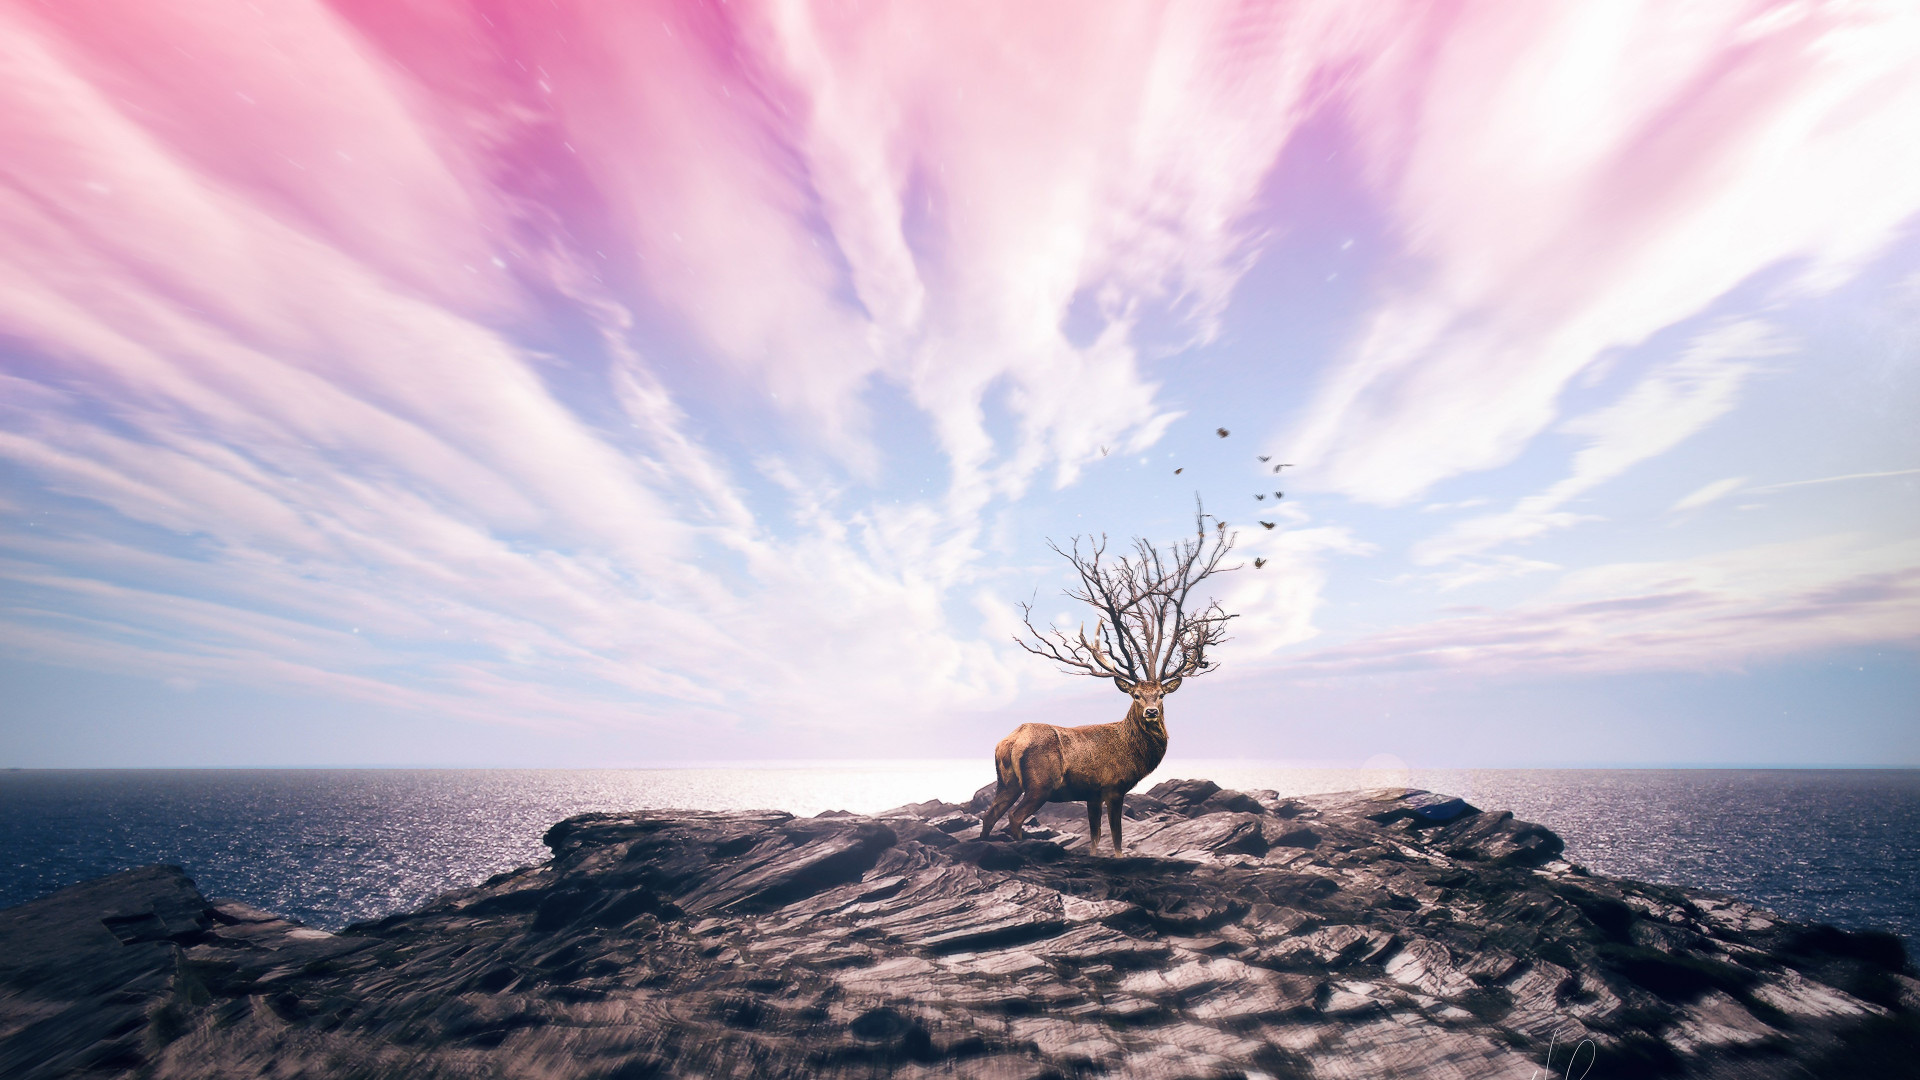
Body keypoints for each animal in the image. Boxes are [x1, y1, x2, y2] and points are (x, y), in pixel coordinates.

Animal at [979, 503, 1238, 855]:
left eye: (1161, 694)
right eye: (1136, 695)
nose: (1151, 712)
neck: (1132, 754)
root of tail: (1011, 740)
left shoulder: (1091, 793)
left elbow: (1095, 837)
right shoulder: (1112, 786)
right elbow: (1115, 838)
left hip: (1006, 780)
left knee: (988, 815)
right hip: (1039, 783)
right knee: (1014, 818)